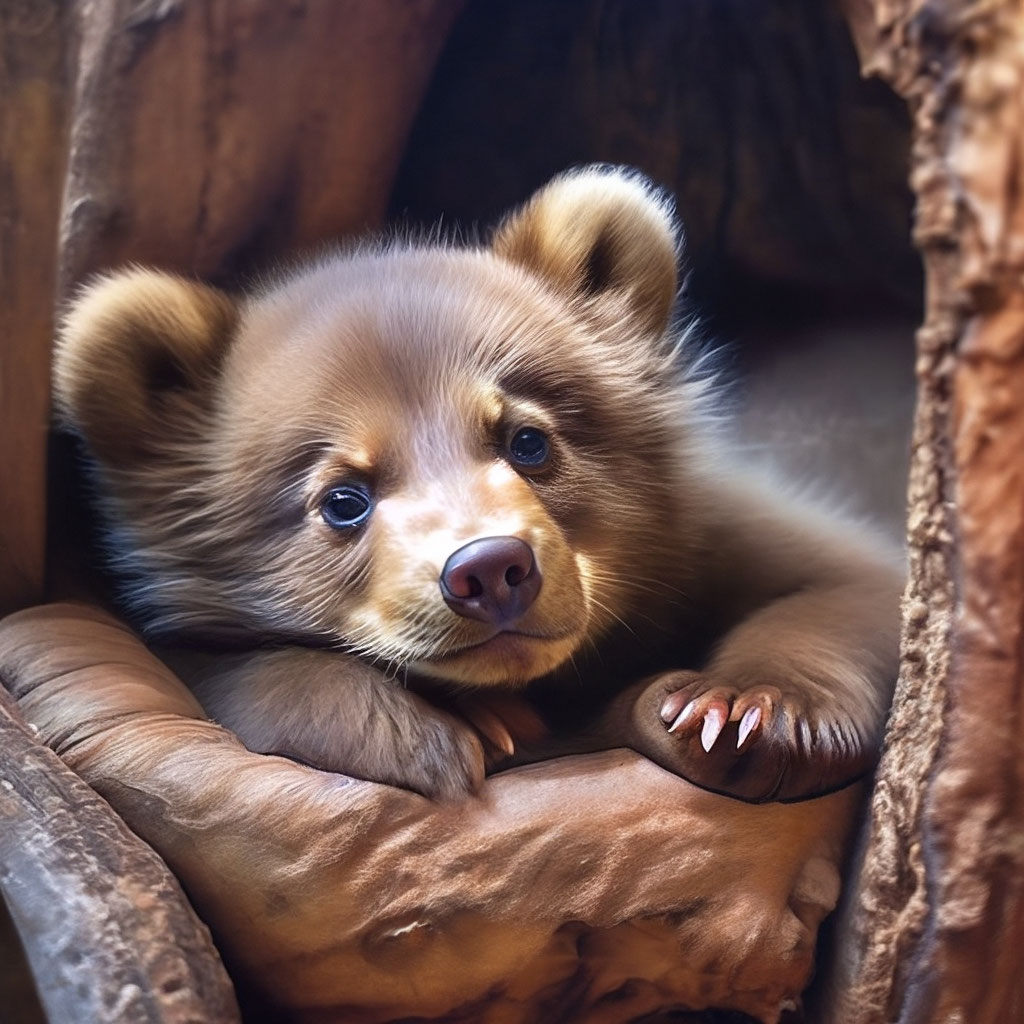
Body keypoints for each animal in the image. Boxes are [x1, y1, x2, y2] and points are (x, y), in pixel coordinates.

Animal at [52, 166, 902, 802]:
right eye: (343, 499)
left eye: (528, 440)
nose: (490, 568)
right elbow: (224, 667)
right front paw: (428, 728)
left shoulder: (721, 523)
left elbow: (849, 589)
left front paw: (741, 710)